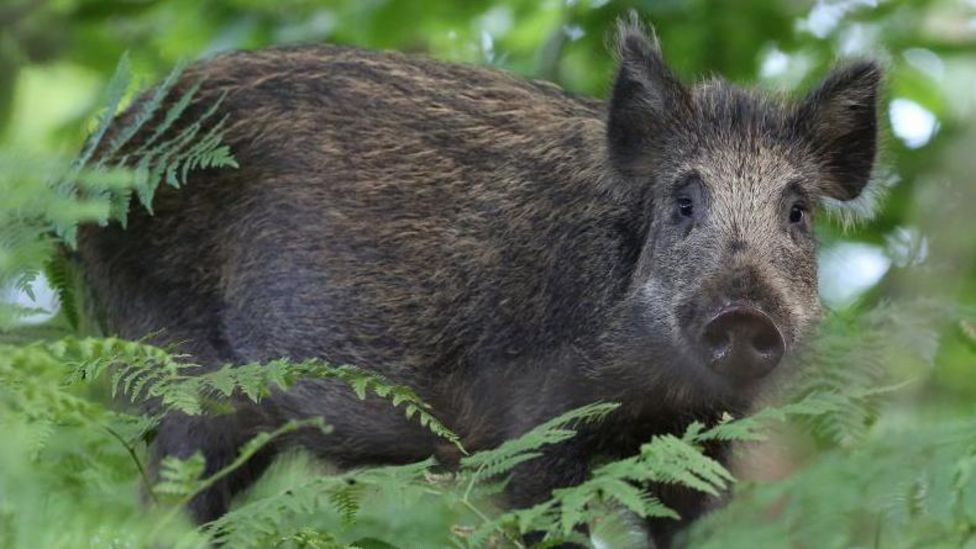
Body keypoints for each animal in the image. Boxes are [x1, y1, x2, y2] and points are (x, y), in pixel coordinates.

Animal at [77, 18, 880, 547]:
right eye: (684, 202)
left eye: (797, 210)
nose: (743, 315)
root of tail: (96, 157)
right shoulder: (535, 425)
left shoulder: (703, 441)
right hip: (190, 374)